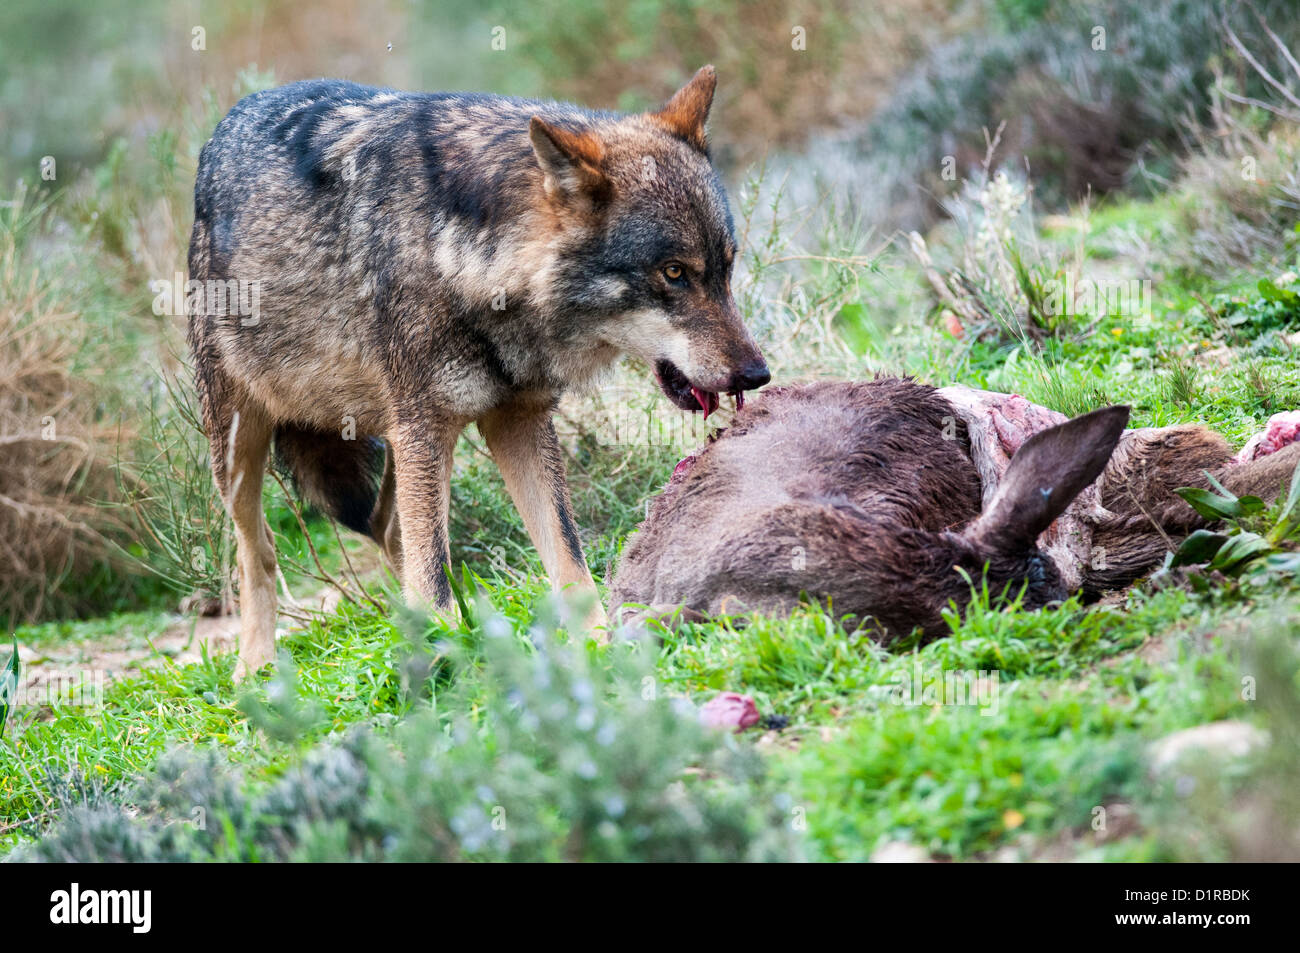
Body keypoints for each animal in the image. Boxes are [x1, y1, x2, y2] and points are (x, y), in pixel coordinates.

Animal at [187, 66, 769, 678]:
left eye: (726, 269)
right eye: (674, 273)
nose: (757, 375)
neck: (463, 258)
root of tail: (227, 122)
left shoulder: (517, 421)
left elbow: (569, 560)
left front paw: (600, 652)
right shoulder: (427, 429)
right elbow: (436, 581)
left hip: (391, 438)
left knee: (388, 528)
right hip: (241, 445)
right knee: (260, 552)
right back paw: (255, 669)